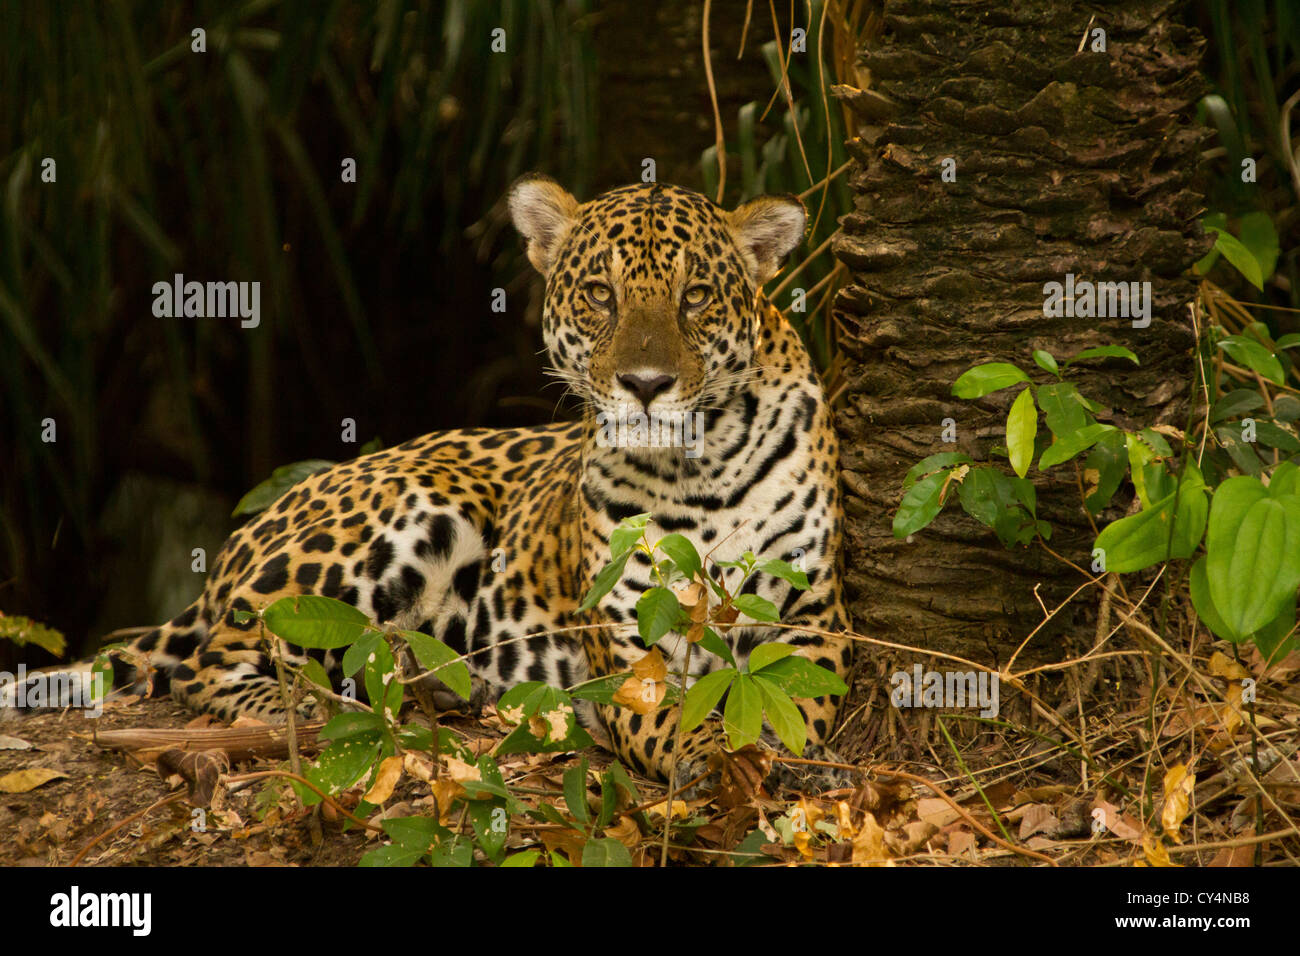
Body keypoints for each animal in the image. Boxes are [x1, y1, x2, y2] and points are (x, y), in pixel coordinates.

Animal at [9, 175, 854, 789]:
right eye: (600, 295)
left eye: (696, 297)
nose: (645, 386)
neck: (700, 468)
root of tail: (246, 536)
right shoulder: (631, 644)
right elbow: (676, 716)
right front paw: (717, 755)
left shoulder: (817, 617)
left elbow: (795, 699)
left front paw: (776, 753)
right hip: (415, 507)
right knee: (213, 663)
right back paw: (315, 703)